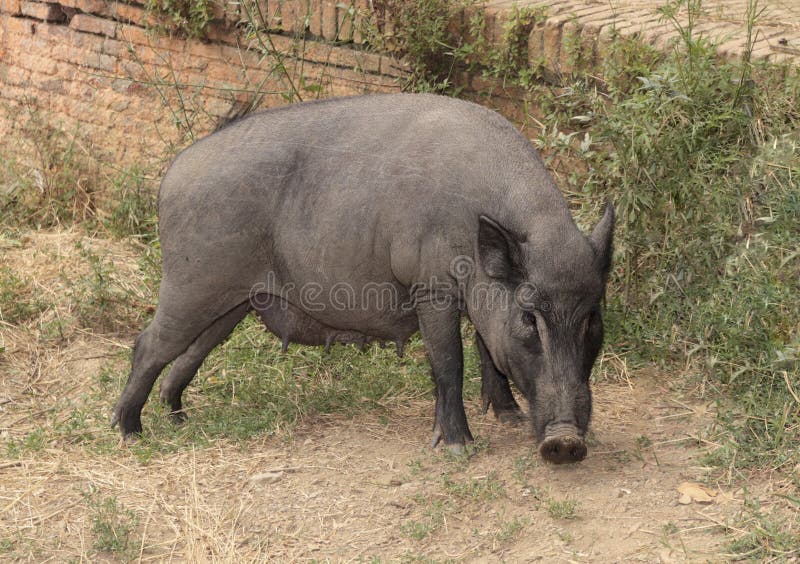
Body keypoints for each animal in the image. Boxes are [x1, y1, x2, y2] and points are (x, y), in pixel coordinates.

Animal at [111, 93, 614, 464]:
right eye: (530, 318)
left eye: (592, 319)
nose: (566, 442)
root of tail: (173, 171)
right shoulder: (430, 286)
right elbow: (449, 363)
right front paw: (458, 448)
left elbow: (488, 350)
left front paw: (509, 420)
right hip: (191, 281)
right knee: (148, 344)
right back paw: (130, 432)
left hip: (231, 302)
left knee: (190, 351)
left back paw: (178, 418)